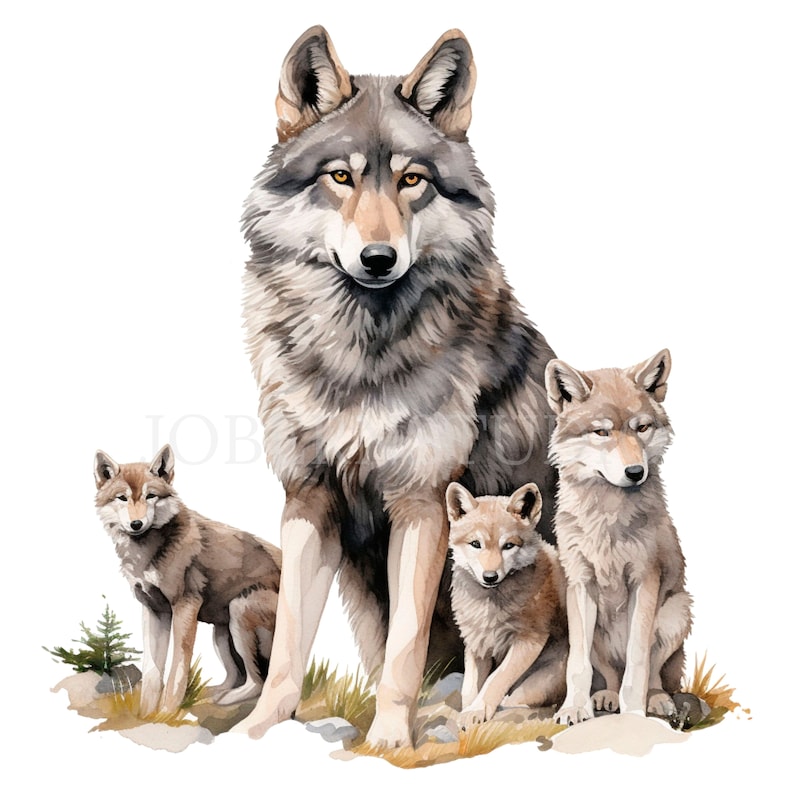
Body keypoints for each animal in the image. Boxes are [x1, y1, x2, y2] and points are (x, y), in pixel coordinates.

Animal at [94, 444, 281, 715]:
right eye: (122, 498)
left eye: (150, 496)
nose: (136, 523)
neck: (146, 554)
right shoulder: (154, 611)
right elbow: (152, 672)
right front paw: (146, 714)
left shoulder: (185, 607)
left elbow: (177, 669)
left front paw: (167, 713)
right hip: (221, 635)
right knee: (236, 675)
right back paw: (217, 692)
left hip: (239, 612)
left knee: (258, 681)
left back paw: (227, 698)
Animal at [446, 482, 567, 728]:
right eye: (476, 544)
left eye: (508, 546)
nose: (490, 576)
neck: (491, 604)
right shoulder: (477, 644)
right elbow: (470, 688)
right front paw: (468, 712)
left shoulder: (529, 641)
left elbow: (495, 679)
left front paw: (477, 711)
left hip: (541, 683)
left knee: (514, 701)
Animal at [545, 349, 693, 725]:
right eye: (602, 432)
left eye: (641, 428)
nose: (635, 472)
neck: (607, 516)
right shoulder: (580, 583)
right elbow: (578, 665)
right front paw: (573, 709)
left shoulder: (645, 580)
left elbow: (638, 662)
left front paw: (634, 715)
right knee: (609, 672)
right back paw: (607, 697)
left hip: (677, 611)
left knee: (652, 672)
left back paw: (657, 701)